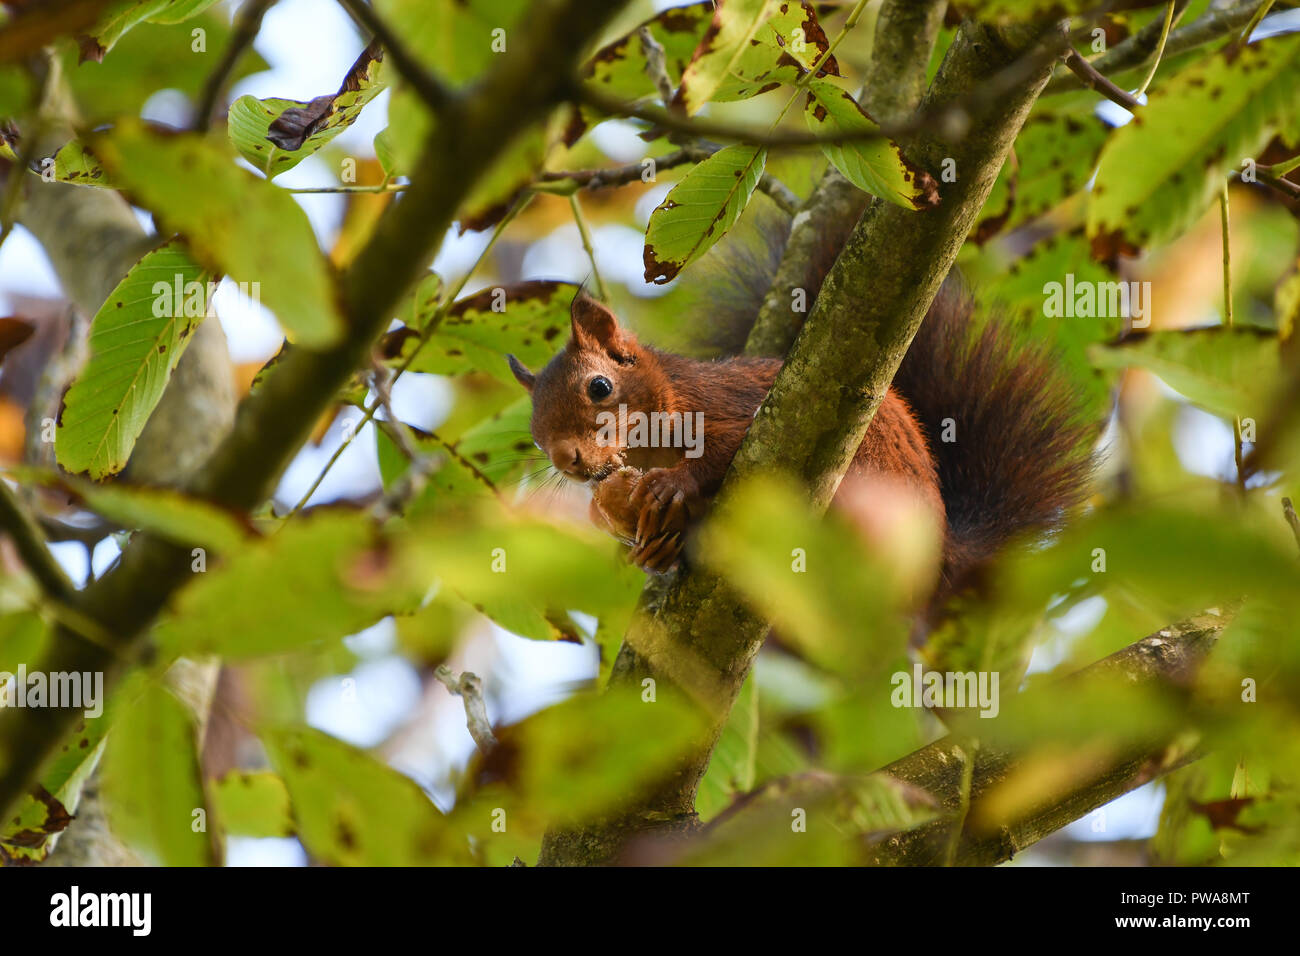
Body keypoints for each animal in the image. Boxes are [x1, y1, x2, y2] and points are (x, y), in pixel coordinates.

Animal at [506, 266, 1096, 617]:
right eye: (534, 437)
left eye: (600, 387)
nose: (568, 461)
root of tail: (937, 554)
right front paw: (634, 535)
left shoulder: (727, 405)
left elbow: (726, 448)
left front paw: (672, 486)